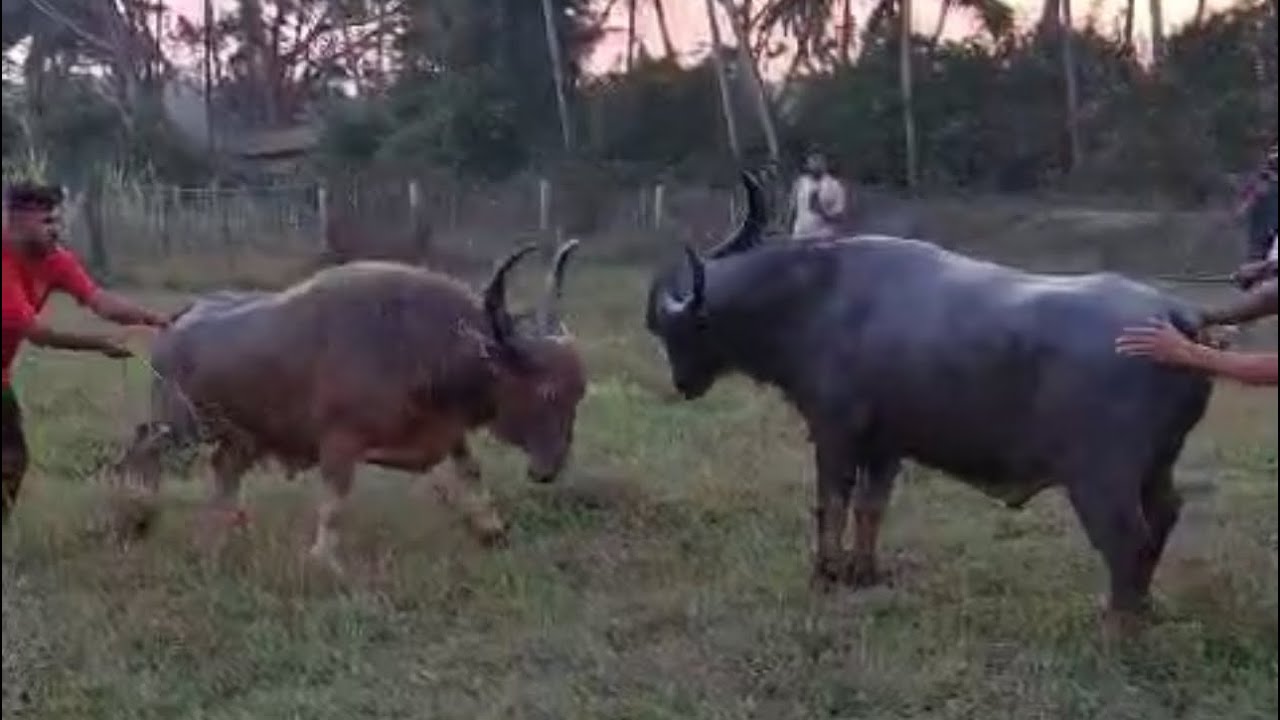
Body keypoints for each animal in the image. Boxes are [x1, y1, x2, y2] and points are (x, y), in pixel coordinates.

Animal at [120, 241, 587, 572]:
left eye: (577, 392)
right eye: (545, 391)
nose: (549, 469)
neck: (421, 346)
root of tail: (176, 321)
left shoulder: (445, 433)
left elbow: (470, 472)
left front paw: (490, 530)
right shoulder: (340, 443)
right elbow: (335, 502)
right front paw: (323, 559)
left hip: (241, 439)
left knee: (223, 471)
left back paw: (216, 533)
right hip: (180, 425)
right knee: (144, 447)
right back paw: (136, 517)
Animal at [645, 172, 1213, 633]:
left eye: (674, 330)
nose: (681, 382)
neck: (817, 299)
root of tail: (1175, 316)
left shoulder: (835, 432)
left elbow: (831, 504)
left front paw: (825, 574)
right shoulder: (886, 445)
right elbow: (871, 508)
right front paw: (863, 572)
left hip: (1100, 477)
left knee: (1127, 537)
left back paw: (1118, 626)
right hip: (1156, 466)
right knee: (1164, 517)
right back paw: (1140, 610)